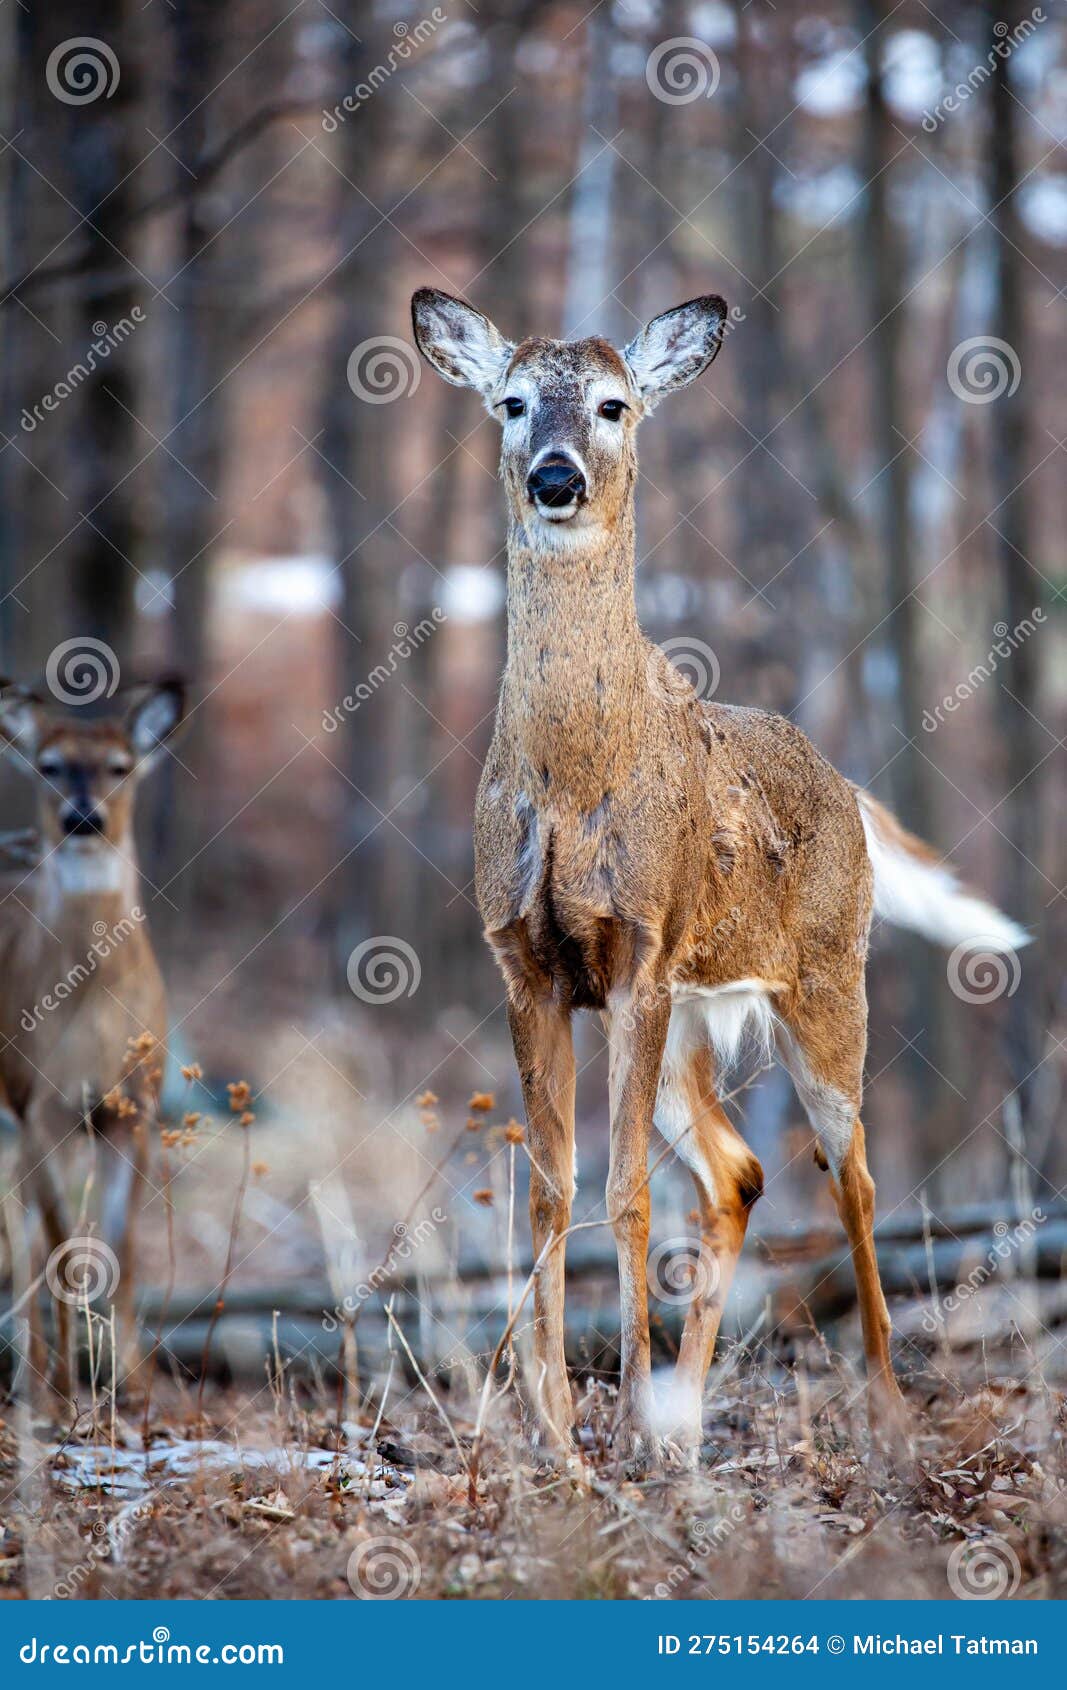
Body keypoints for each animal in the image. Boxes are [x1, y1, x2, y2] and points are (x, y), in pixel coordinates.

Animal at [0, 678, 185, 1401]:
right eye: (48, 765)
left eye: (121, 765)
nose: (84, 819)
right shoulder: (39, 1106)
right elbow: (60, 1247)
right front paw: (60, 1391)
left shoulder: (130, 1109)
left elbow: (120, 1244)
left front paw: (133, 1382)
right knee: (22, 1238)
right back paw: (31, 1378)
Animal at [411, 286, 1030, 1468]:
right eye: (511, 400)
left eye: (612, 403)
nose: (554, 475)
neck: (573, 774)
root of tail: (845, 784)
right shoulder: (528, 963)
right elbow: (550, 1192)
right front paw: (556, 1434)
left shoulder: (638, 954)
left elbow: (624, 1197)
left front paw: (609, 1428)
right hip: (697, 1015)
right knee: (739, 1172)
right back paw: (685, 1420)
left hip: (825, 983)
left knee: (853, 1175)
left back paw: (885, 1408)